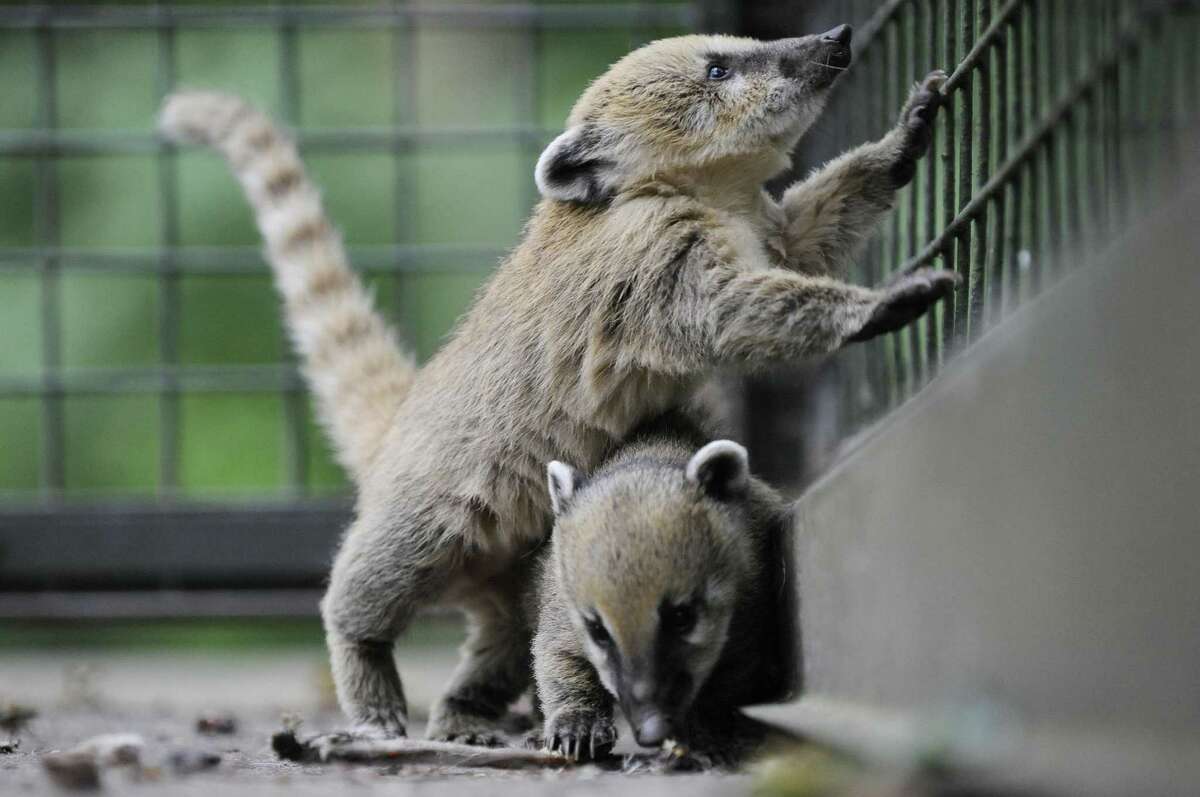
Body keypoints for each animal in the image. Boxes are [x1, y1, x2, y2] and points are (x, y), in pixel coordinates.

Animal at [534, 413, 792, 767]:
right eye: (598, 631)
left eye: (683, 617)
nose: (651, 732)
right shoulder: (559, 594)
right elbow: (555, 655)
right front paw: (576, 721)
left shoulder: (753, 600)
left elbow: (734, 670)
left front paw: (705, 732)